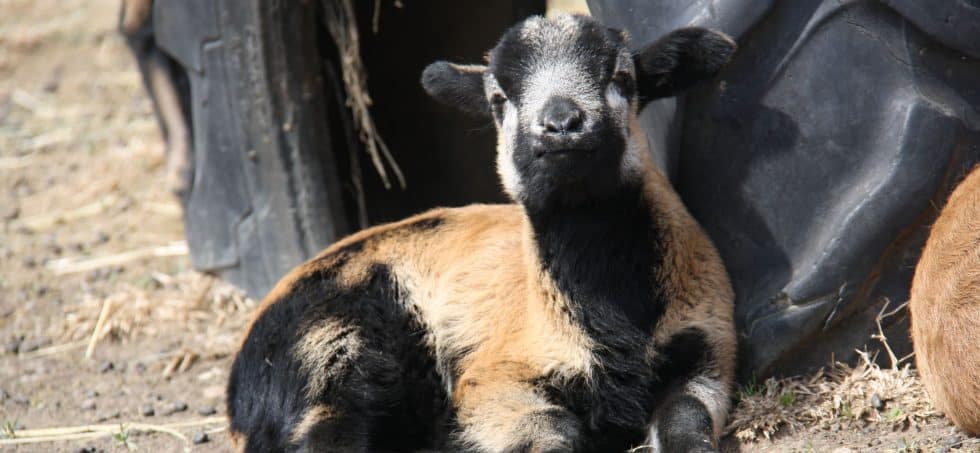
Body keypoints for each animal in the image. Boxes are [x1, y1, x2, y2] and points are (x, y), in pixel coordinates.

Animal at [227, 14, 737, 453]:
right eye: (498, 100)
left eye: (623, 78)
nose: (560, 126)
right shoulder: (493, 382)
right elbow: (553, 432)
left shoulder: (709, 349)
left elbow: (688, 418)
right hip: (330, 347)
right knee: (329, 434)